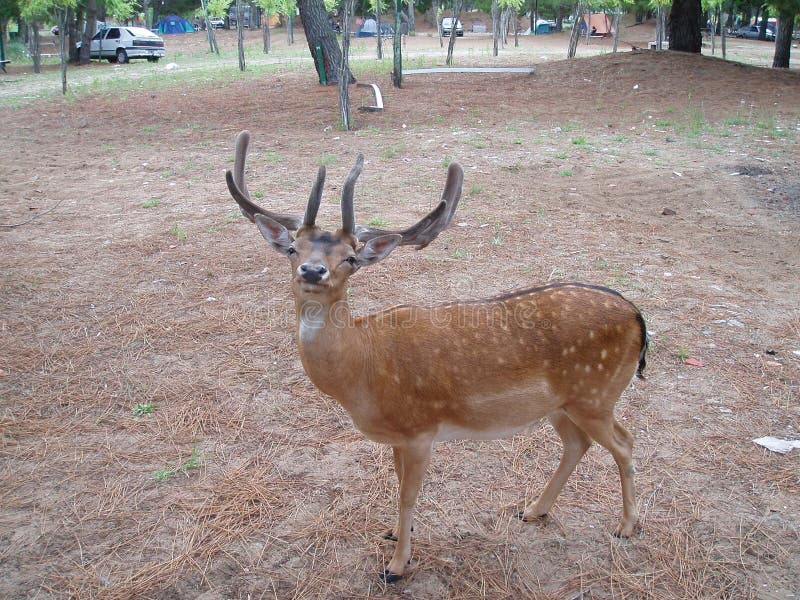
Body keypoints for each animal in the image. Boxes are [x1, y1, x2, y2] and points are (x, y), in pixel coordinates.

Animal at [225, 131, 648, 582]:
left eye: (351, 258)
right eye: (293, 249)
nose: (312, 271)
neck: (364, 372)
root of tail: (638, 317)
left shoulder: (419, 429)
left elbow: (408, 495)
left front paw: (396, 565)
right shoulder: (399, 436)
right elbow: (397, 486)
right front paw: (394, 535)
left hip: (596, 394)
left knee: (624, 443)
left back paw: (626, 526)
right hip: (561, 403)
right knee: (577, 443)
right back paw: (534, 510)